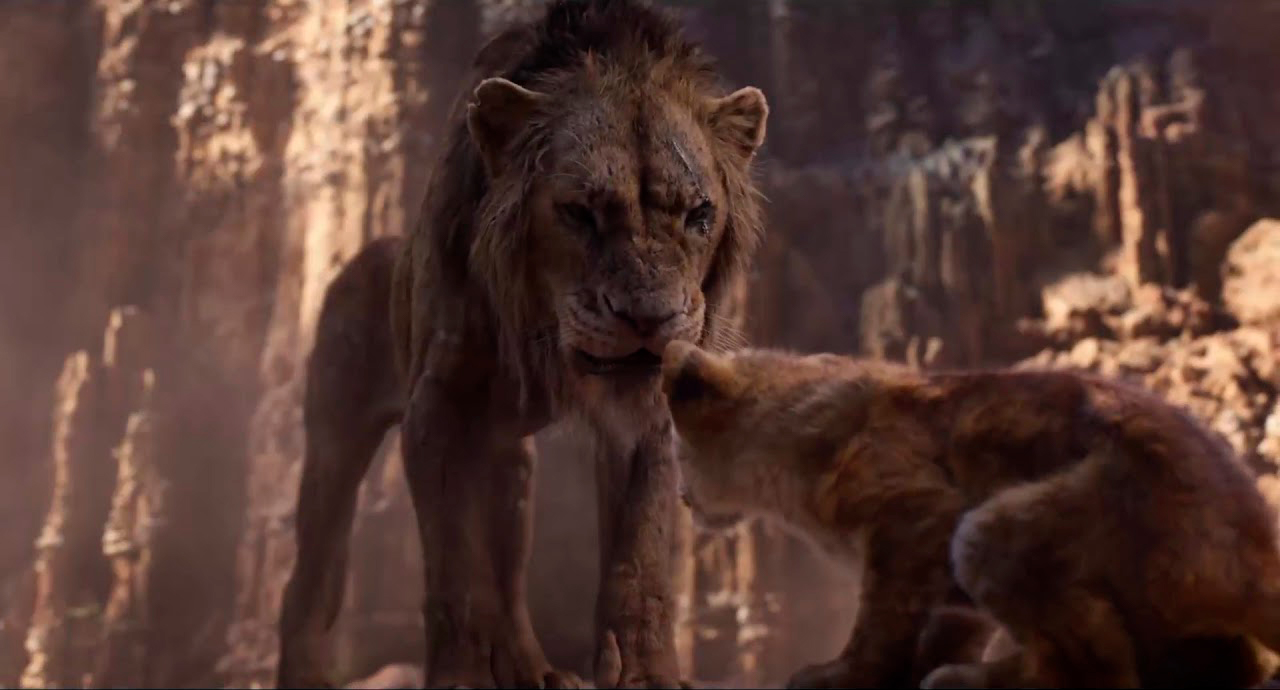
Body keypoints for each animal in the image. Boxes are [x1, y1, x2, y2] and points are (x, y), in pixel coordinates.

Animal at [276, 1, 769, 688]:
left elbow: (639, 556)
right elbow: (457, 564)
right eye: (579, 213)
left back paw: (535, 670)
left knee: (510, 578)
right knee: (311, 580)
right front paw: (463, 673)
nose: (650, 318)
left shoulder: (645, 419)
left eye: (699, 215)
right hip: (333, 441)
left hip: (511, 463)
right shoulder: (439, 407)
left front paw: (646, 672)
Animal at [660, 340, 1280, 688]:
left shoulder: (915, 516)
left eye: (676, 452)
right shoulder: (939, 572)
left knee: (1100, 667)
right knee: (1214, 666)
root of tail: (1256, 544)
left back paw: (966, 681)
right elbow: (945, 625)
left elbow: (882, 619)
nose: (681, 499)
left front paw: (843, 675)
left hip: (994, 530)